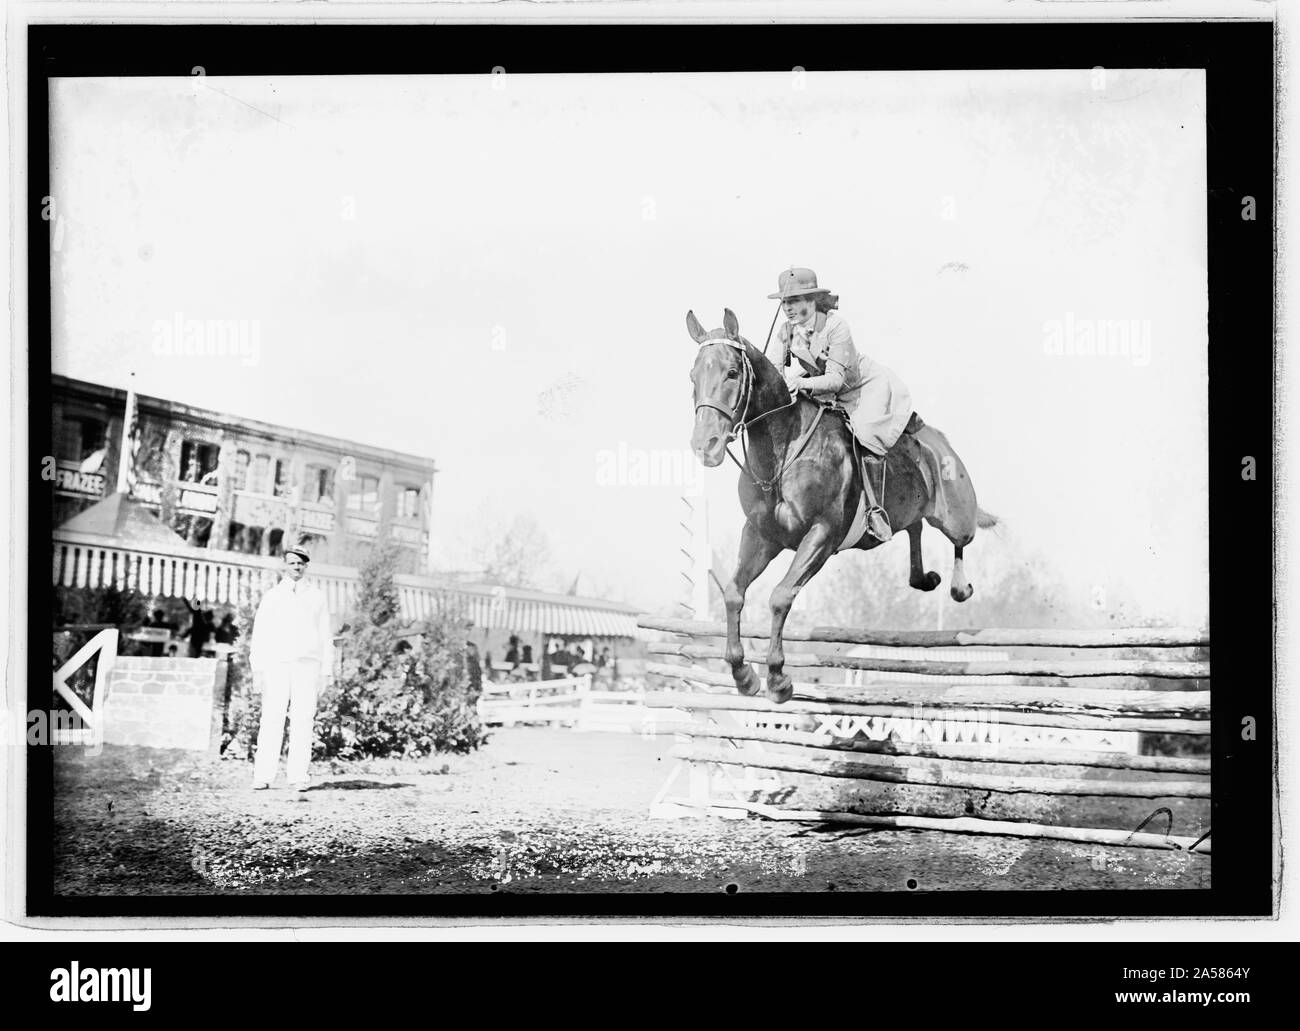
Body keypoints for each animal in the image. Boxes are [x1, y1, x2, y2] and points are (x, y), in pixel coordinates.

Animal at [687, 308, 996, 704]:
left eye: (732, 373)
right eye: (693, 376)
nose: (705, 446)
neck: (782, 450)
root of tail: (939, 440)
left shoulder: (822, 535)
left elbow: (781, 596)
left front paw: (778, 680)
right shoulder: (761, 536)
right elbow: (733, 593)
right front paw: (743, 675)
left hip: (956, 514)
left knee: (961, 539)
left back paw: (959, 586)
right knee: (914, 526)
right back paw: (923, 577)